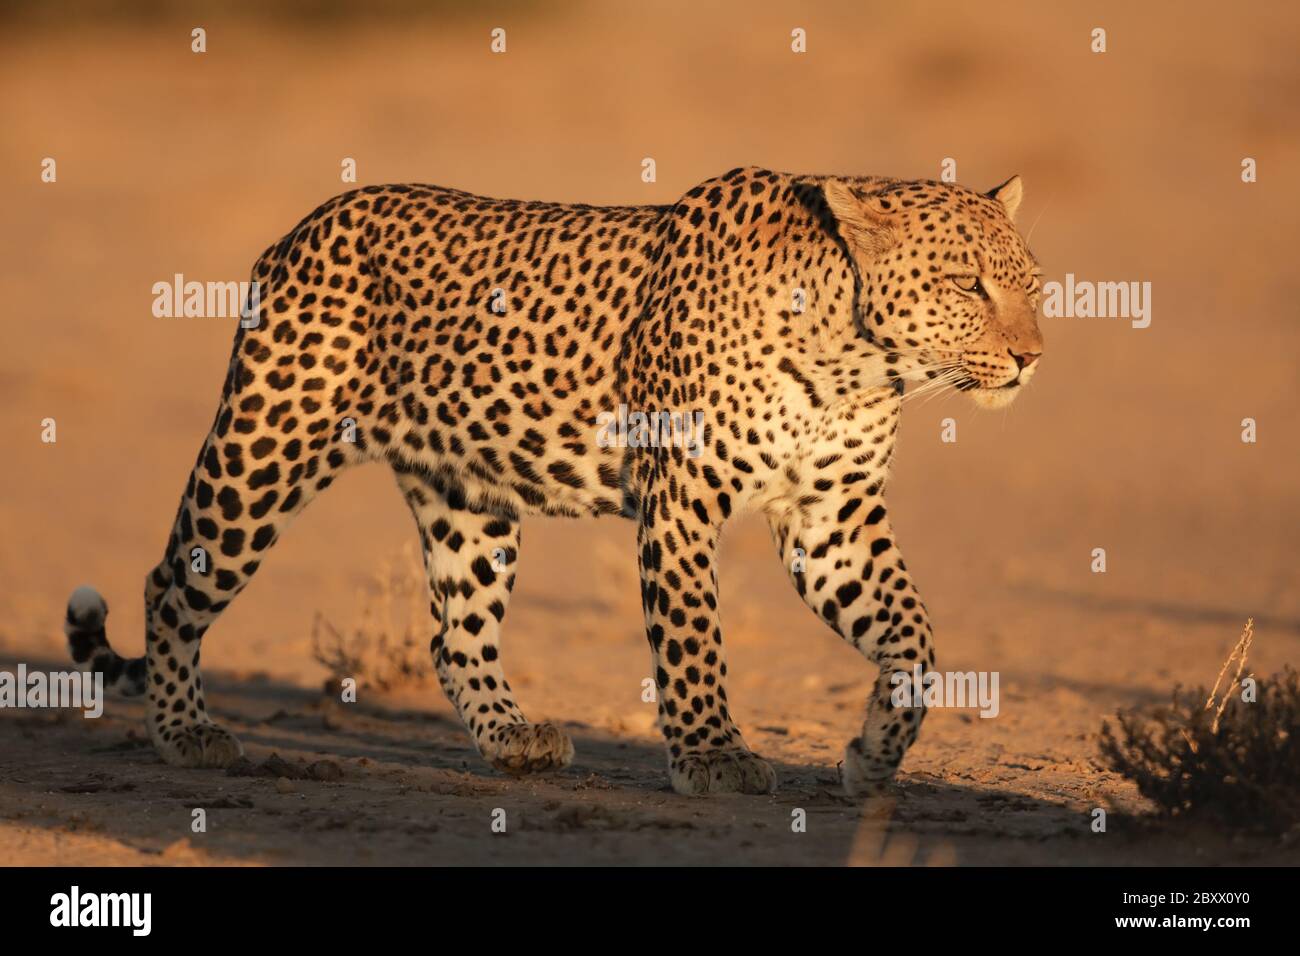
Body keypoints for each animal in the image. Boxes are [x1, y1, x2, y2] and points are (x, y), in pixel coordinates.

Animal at [64, 166, 1044, 796]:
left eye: (1032, 284)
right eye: (968, 284)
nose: (1033, 356)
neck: (858, 360)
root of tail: (299, 228)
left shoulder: (831, 516)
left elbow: (914, 638)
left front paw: (873, 755)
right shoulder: (682, 503)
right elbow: (694, 639)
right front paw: (712, 756)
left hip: (469, 499)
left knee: (453, 636)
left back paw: (512, 742)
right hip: (262, 454)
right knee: (168, 585)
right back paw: (185, 732)